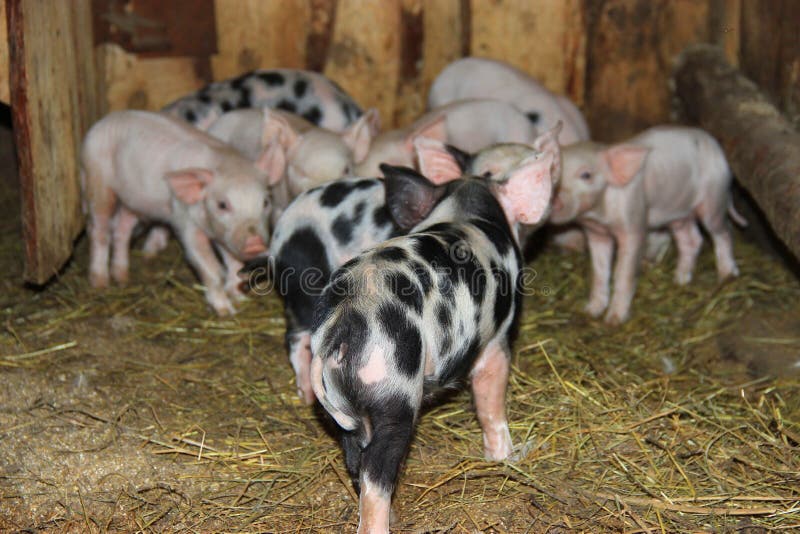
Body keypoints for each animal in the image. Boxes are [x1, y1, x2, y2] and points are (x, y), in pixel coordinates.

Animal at [81, 110, 278, 316]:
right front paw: (225, 312)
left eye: (265, 202)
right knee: (99, 230)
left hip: (133, 201)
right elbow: (211, 267)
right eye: (222, 205)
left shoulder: (224, 232)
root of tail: (102, 121)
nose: (255, 243)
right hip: (97, 180)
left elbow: (234, 262)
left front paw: (239, 299)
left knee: (122, 230)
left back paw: (122, 278)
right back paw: (100, 283)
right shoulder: (185, 220)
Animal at [309, 143, 559, 533]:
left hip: (347, 405)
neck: (464, 210)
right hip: (394, 392)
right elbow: (491, 402)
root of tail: (344, 323)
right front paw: (507, 457)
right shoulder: (496, 339)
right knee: (377, 475)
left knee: (356, 461)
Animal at [550, 125, 746, 325]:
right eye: (553, 172)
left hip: (713, 198)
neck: (599, 214)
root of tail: (716, 148)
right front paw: (591, 311)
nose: (554, 199)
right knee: (692, 240)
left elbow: (624, 272)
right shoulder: (596, 232)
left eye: (586, 175)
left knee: (724, 231)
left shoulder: (634, 219)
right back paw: (680, 280)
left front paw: (614, 320)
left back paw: (727, 276)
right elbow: (599, 271)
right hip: (678, 213)